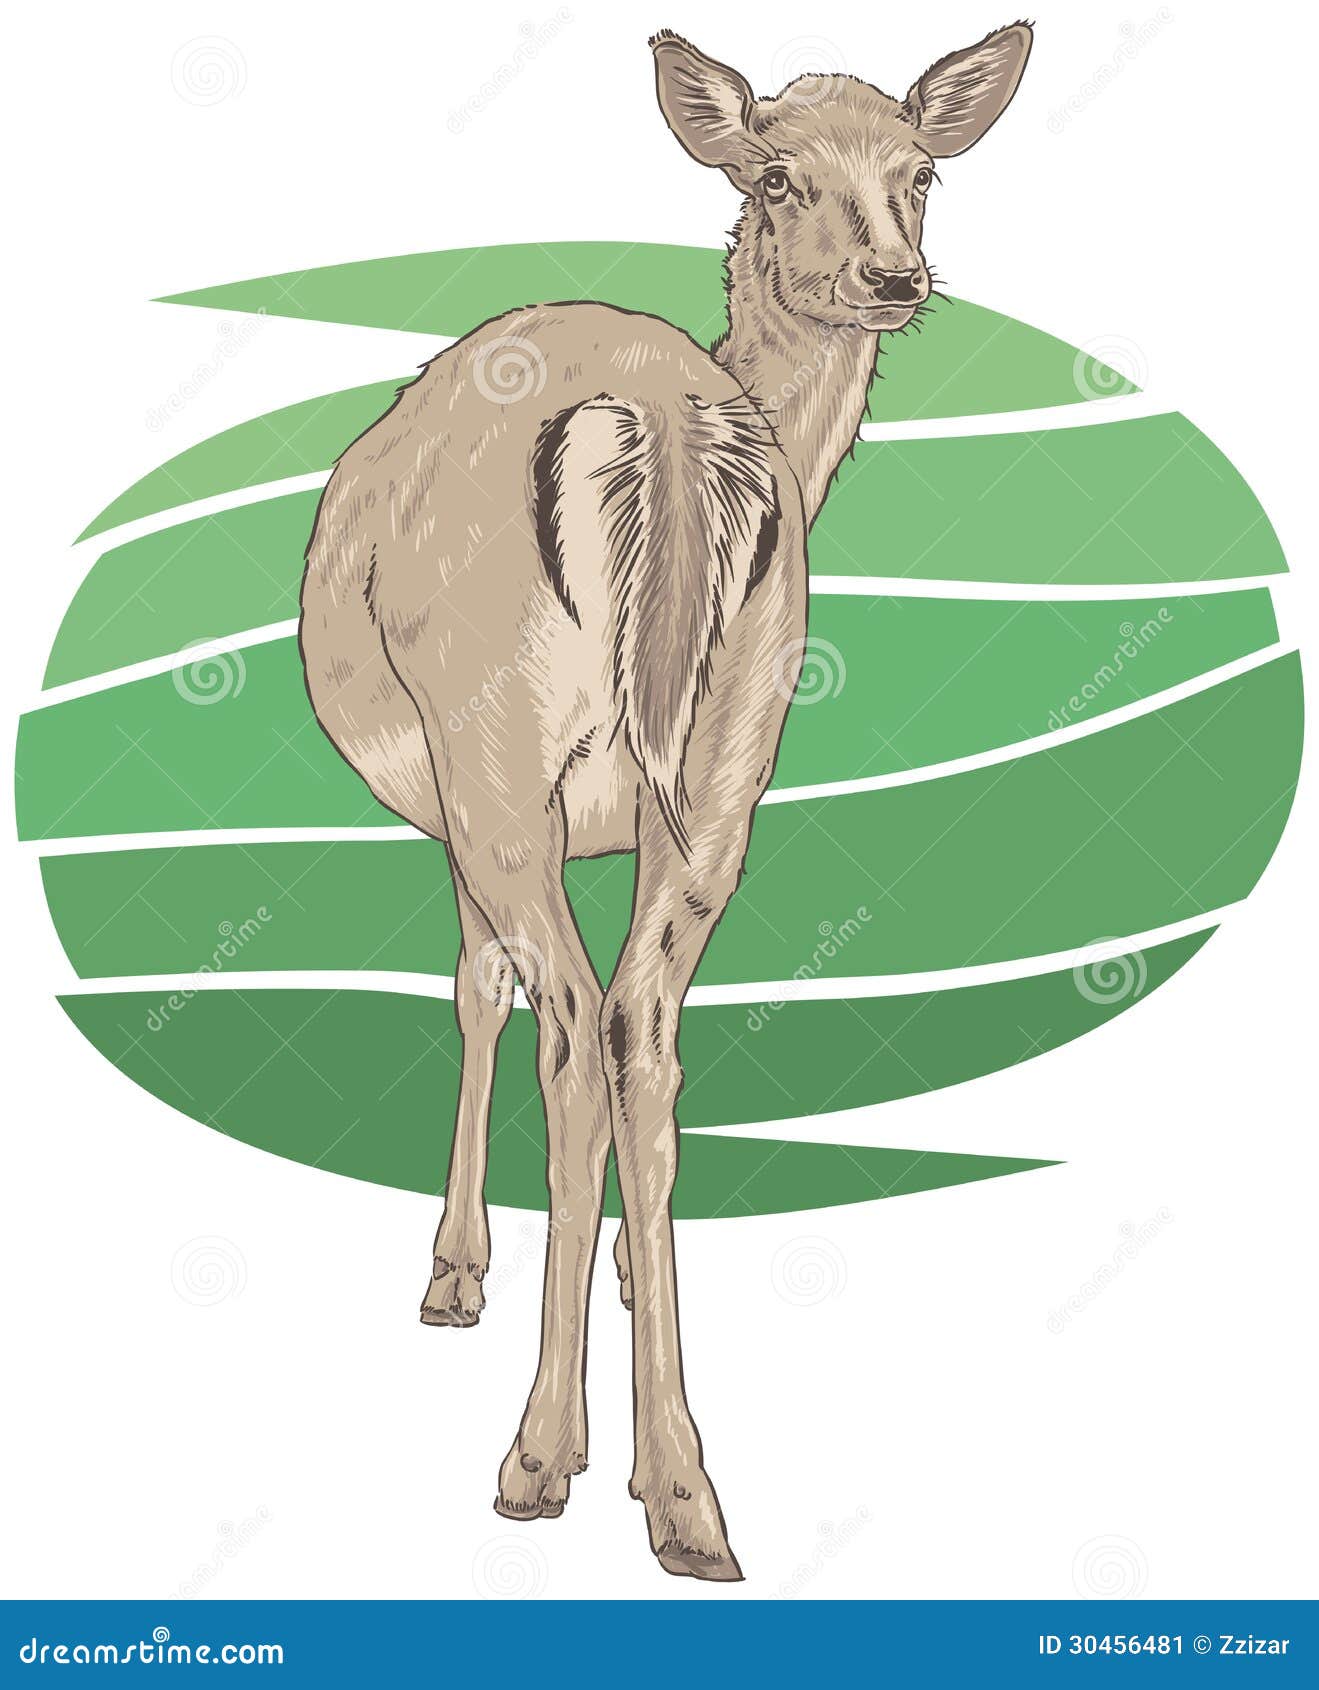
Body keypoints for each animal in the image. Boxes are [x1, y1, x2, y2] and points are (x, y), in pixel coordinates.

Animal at [299, 24, 1032, 1582]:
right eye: (773, 174)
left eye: (920, 169)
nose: (893, 276)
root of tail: (663, 420)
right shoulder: (636, 816)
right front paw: (620, 1276)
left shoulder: (465, 803)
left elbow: (478, 988)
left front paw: (454, 1273)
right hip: (730, 754)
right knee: (643, 1025)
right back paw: (687, 1493)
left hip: (499, 750)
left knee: (577, 1025)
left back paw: (541, 1460)